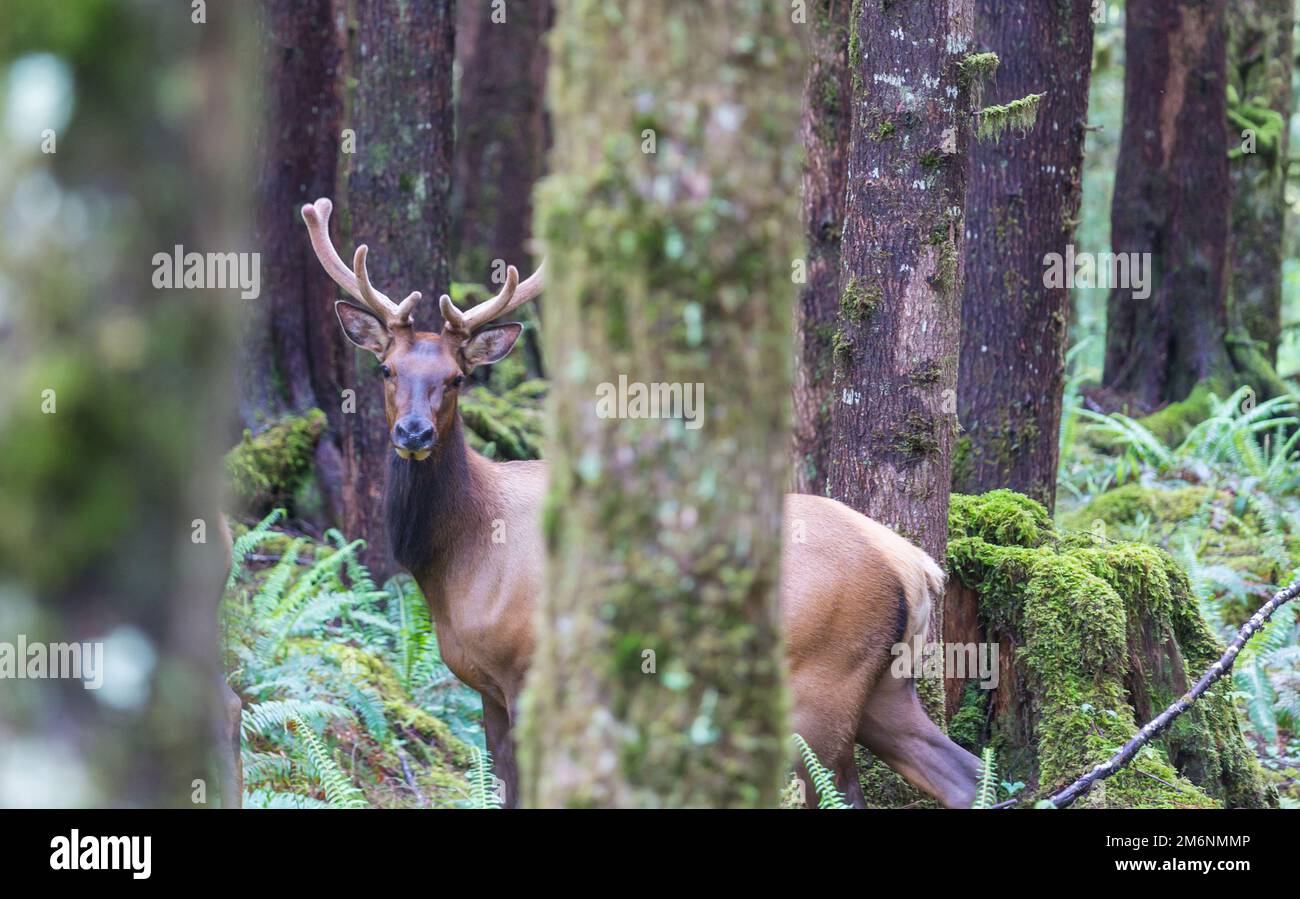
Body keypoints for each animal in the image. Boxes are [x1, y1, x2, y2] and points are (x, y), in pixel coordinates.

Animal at [301, 197, 980, 808]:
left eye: (457, 378)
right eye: (387, 369)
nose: (413, 433)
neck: (457, 558)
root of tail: (915, 565)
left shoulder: (528, 669)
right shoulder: (485, 688)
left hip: (821, 680)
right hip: (885, 685)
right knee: (966, 777)